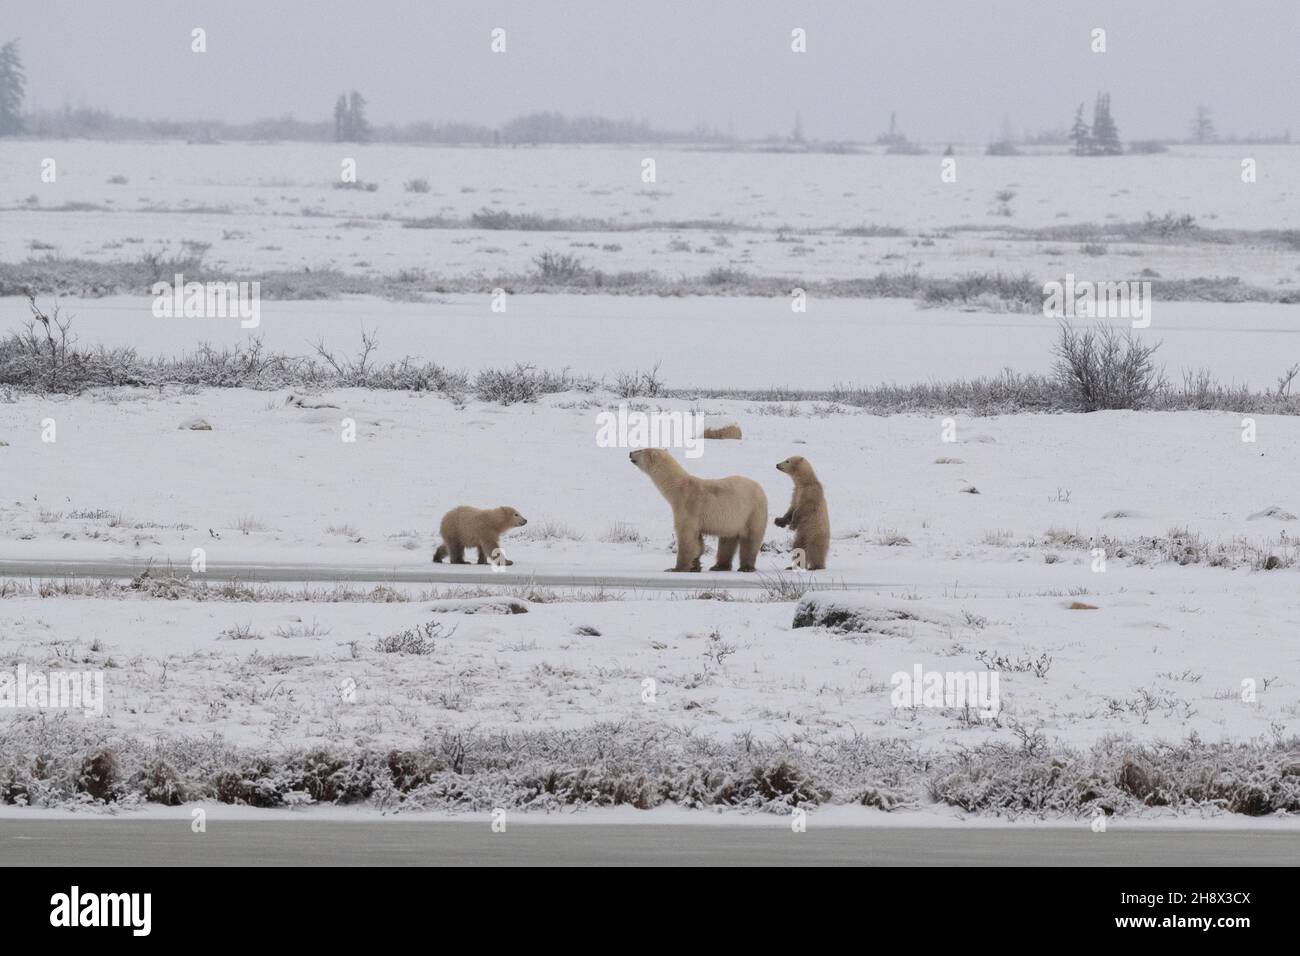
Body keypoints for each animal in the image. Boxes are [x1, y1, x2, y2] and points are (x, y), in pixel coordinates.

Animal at [628, 448, 767, 572]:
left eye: (640, 449)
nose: (630, 452)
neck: (678, 488)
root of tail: (760, 488)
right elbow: (697, 543)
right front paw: (695, 567)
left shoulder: (688, 506)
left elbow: (686, 537)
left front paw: (676, 568)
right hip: (732, 520)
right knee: (727, 539)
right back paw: (718, 566)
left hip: (752, 512)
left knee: (750, 538)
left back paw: (746, 568)